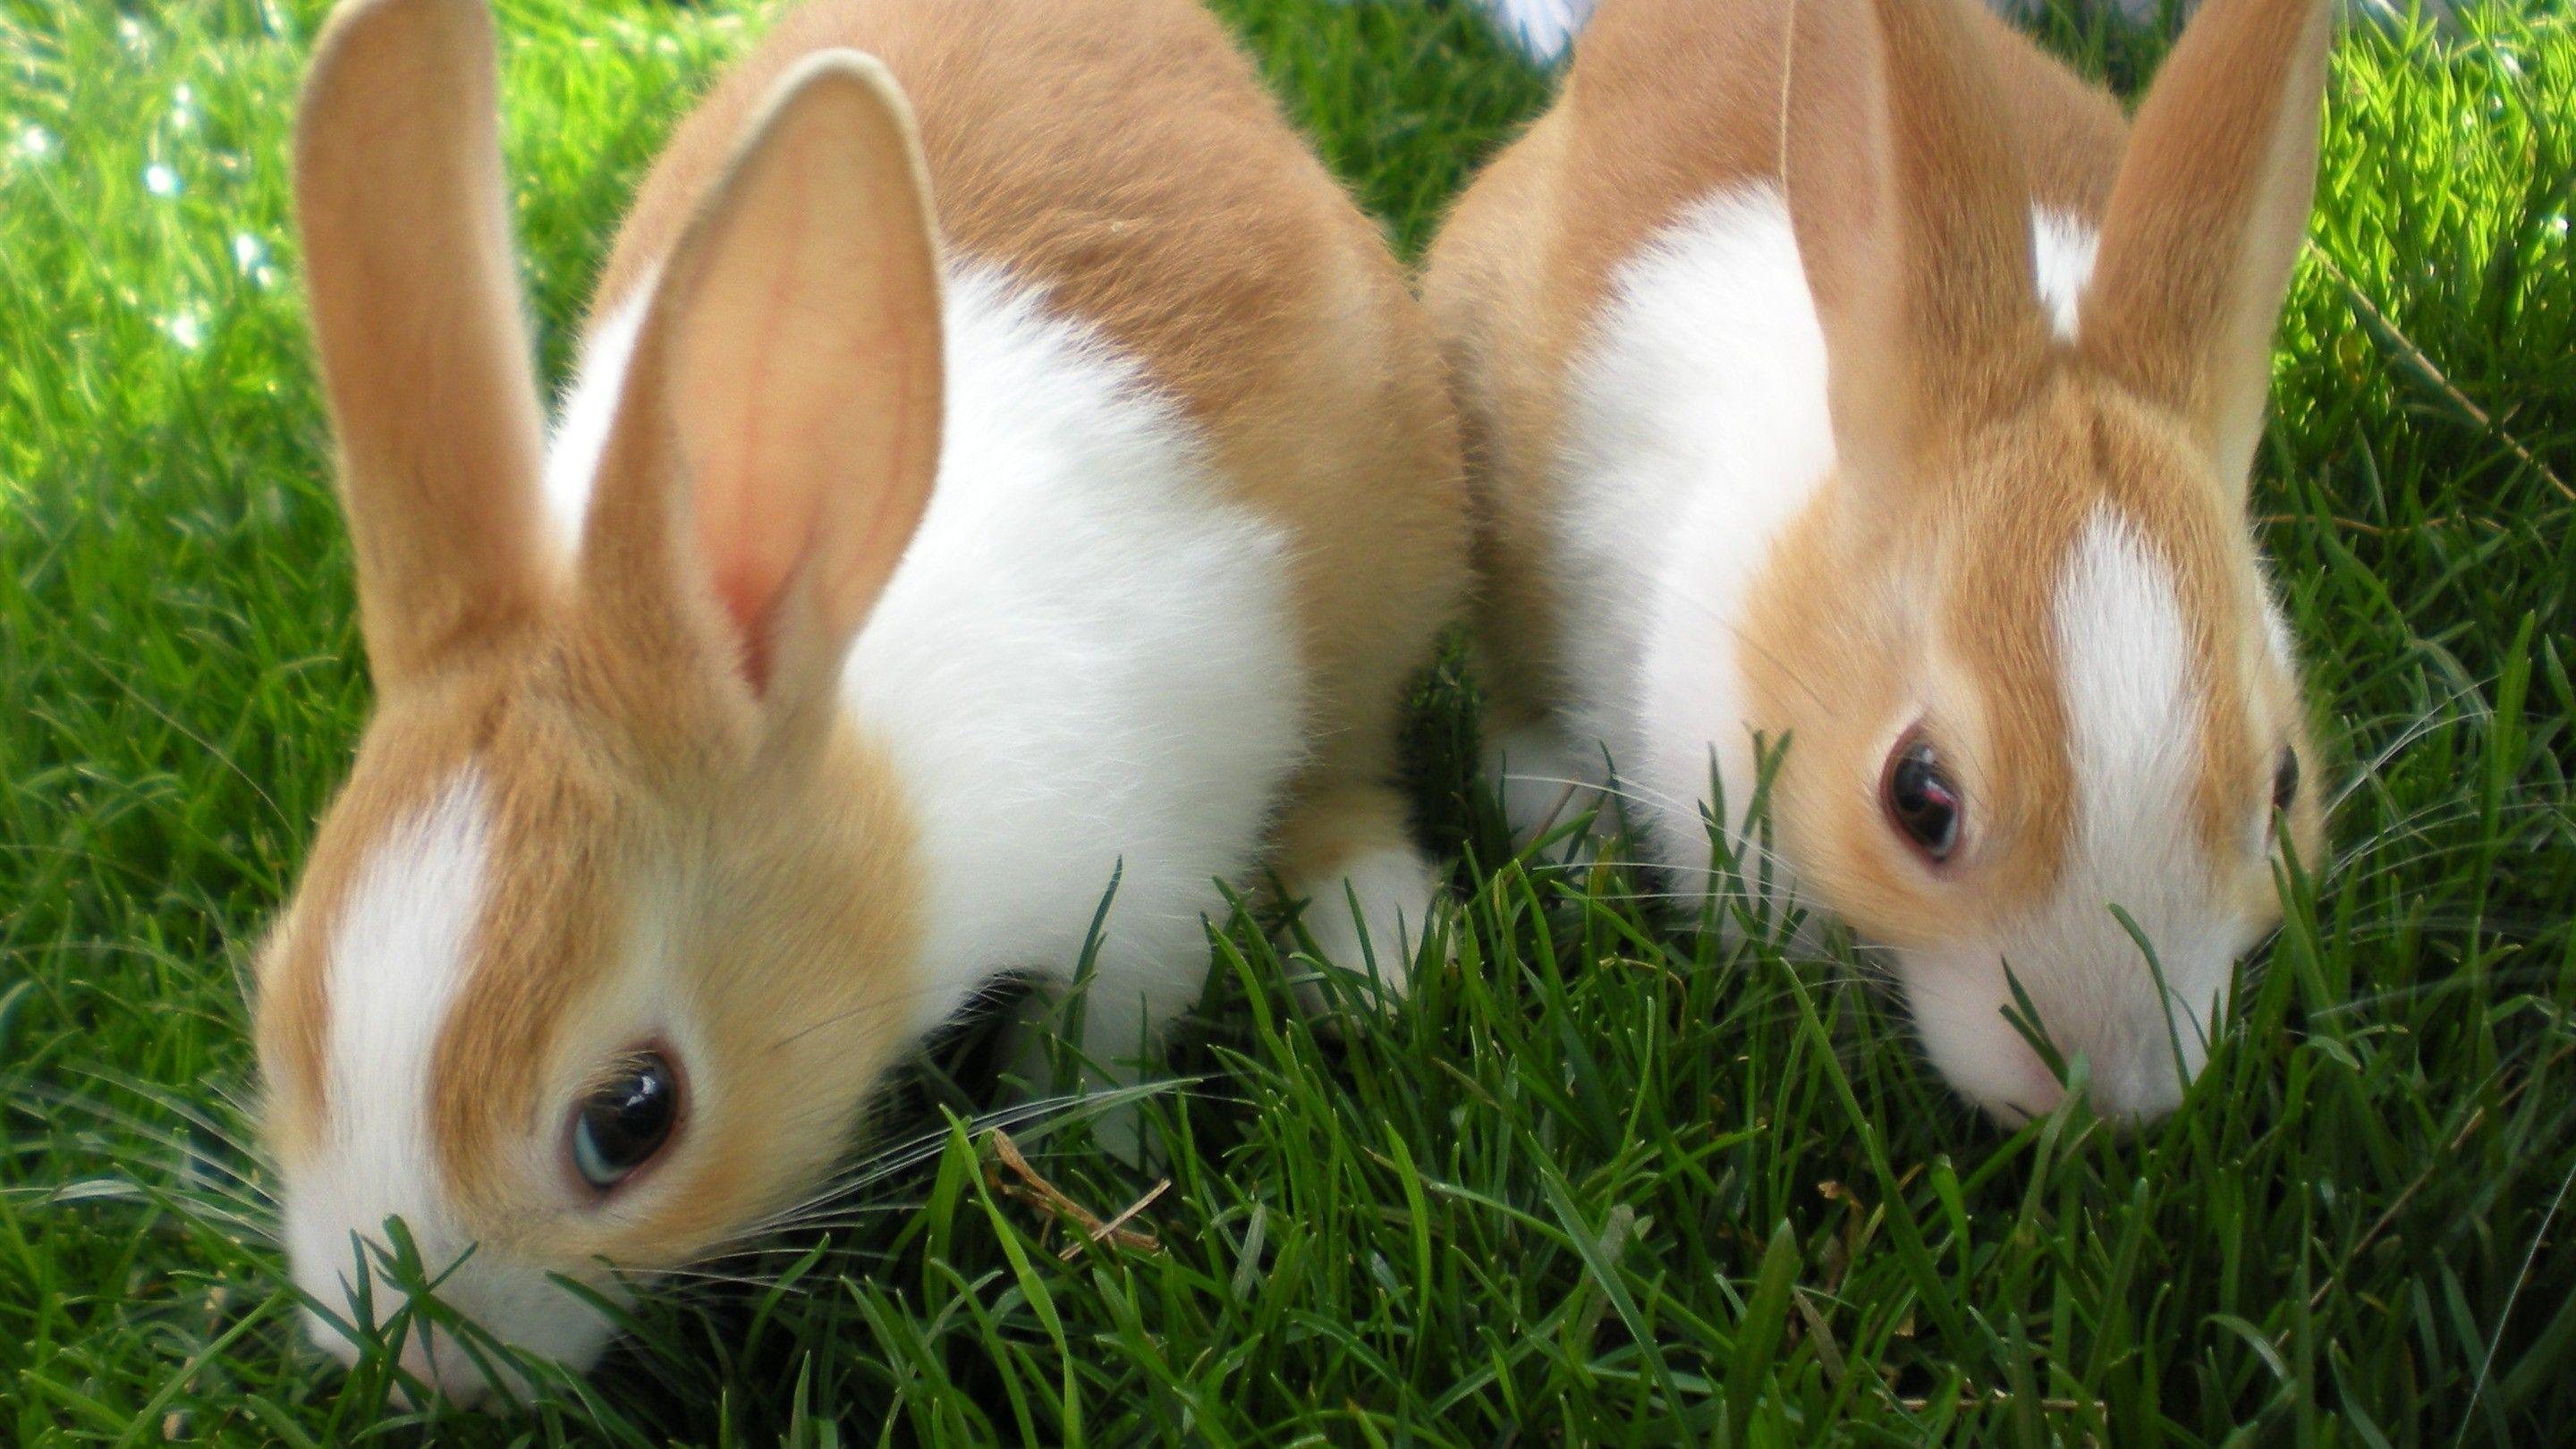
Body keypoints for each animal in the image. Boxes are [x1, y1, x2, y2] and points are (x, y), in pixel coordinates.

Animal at [258, 0, 1465, 1401]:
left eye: (632, 1119)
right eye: (275, 1001)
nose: (420, 1372)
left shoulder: (1151, 883)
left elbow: (1103, 1043)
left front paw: (1084, 1163)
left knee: (1355, 767)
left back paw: (1376, 953)